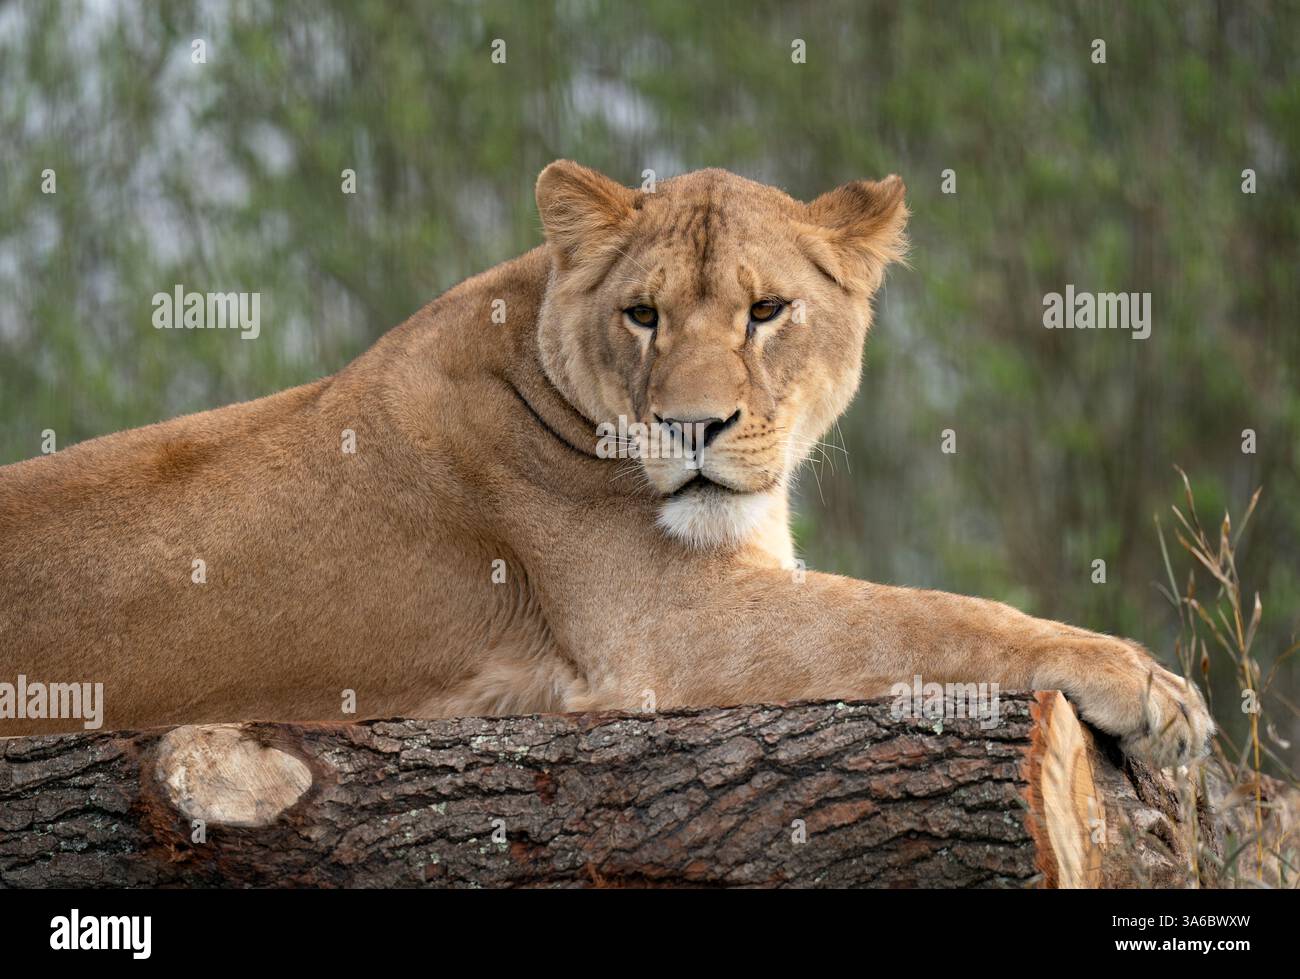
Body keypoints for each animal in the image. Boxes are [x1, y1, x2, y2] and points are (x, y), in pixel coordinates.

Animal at [0, 161, 1211, 767]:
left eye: (767, 310)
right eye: (643, 315)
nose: (693, 426)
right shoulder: (667, 631)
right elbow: (926, 617)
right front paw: (1149, 685)